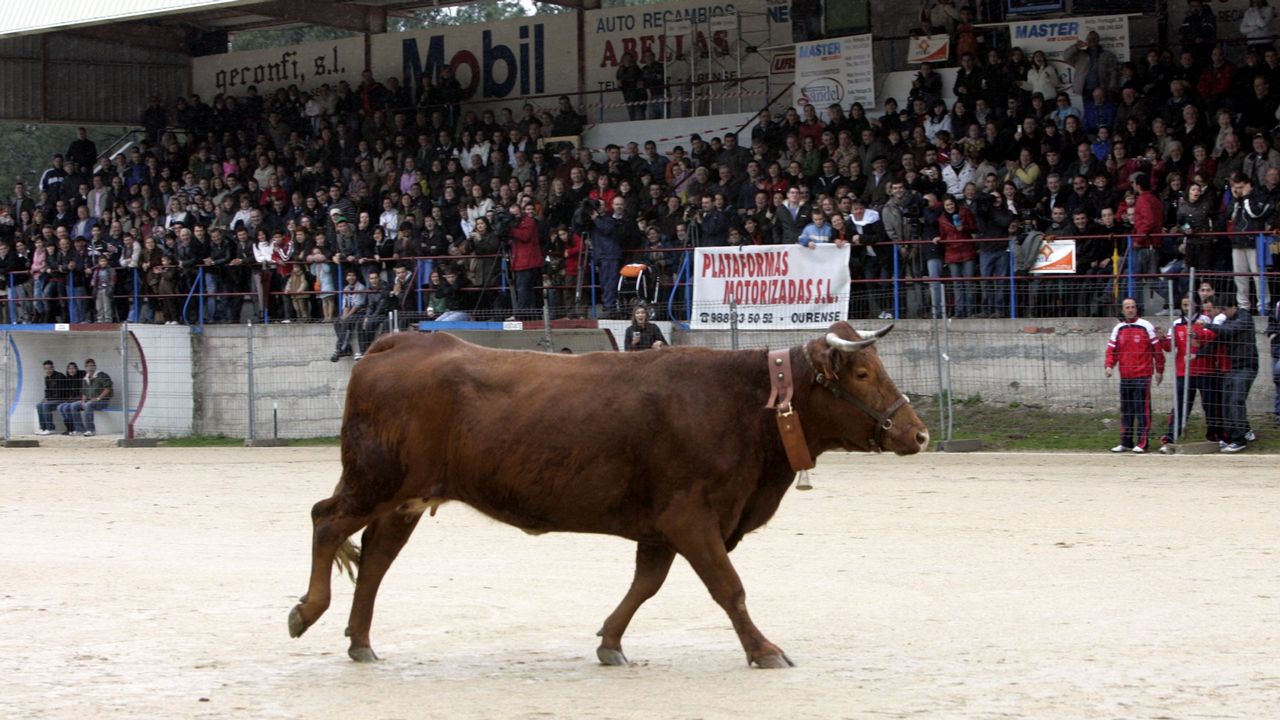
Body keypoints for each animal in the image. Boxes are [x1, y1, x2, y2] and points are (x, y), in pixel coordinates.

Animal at [288, 321, 929, 668]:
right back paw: (308, 611)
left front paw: (610, 641)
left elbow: (645, 585)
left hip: (407, 498)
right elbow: (730, 589)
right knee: (326, 521)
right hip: (374, 481)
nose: (917, 432)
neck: (745, 403)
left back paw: (361, 641)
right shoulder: (692, 518)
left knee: (375, 559)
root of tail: (400, 343)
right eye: (864, 374)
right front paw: (765, 649)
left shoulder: (664, 526)